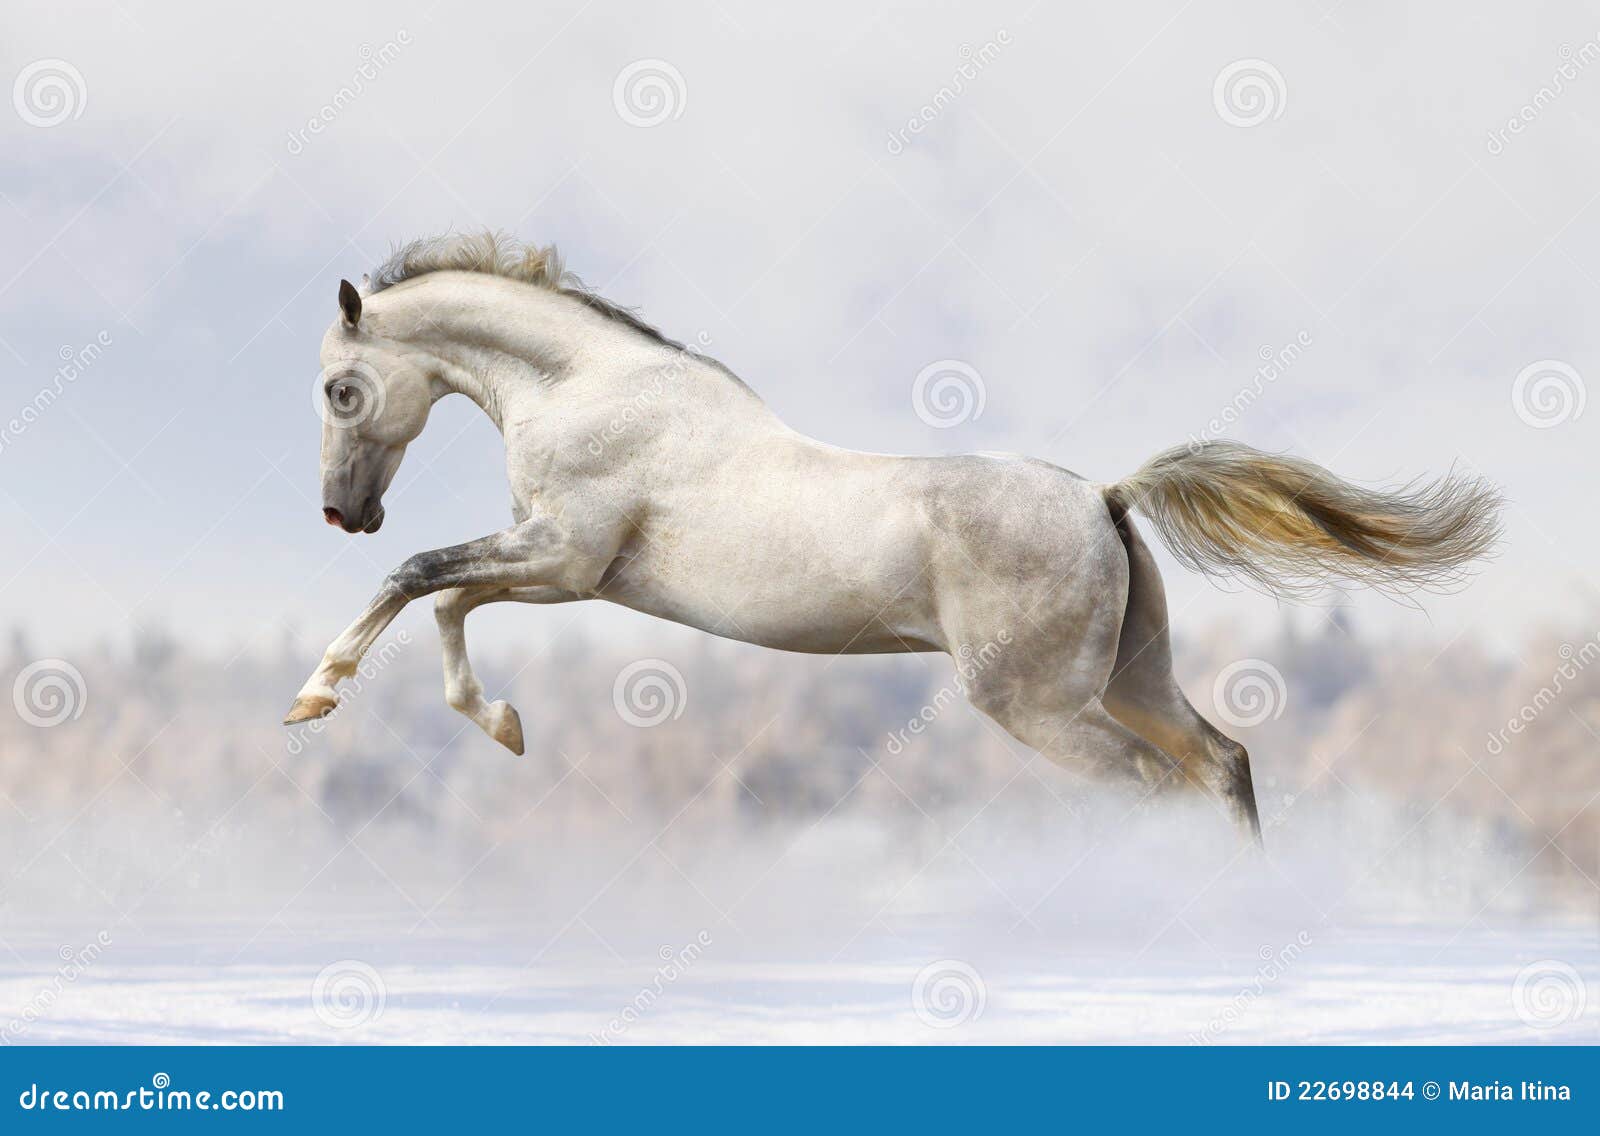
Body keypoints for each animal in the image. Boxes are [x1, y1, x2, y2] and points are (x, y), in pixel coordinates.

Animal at [283, 231, 1501, 842]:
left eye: (342, 388)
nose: (343, 511)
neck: (590, 386)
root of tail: (1105, 497)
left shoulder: (565, 558)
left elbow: (418, 577)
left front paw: (315, 696)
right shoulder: (561, 569)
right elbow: (446, 596)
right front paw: (502, 727)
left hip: (1036, 704)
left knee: (1158, 787)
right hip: (1130, 677)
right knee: (1221, 764)